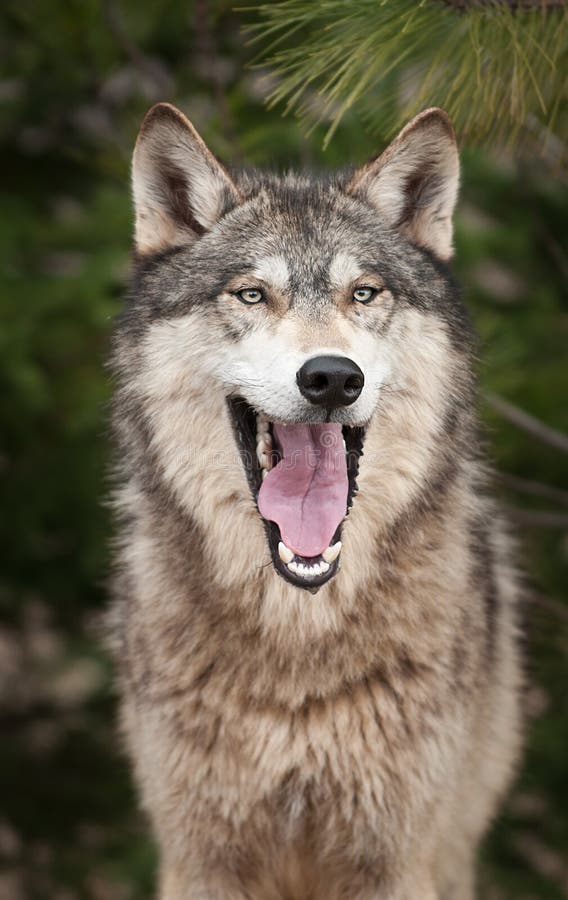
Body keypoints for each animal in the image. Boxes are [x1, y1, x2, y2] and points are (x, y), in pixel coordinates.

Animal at [109, 102, 523, 900]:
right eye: (250, 294)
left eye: (363, 293)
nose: (332, 377)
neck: (298, 644)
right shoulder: (202, 858)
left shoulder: (396, 860)